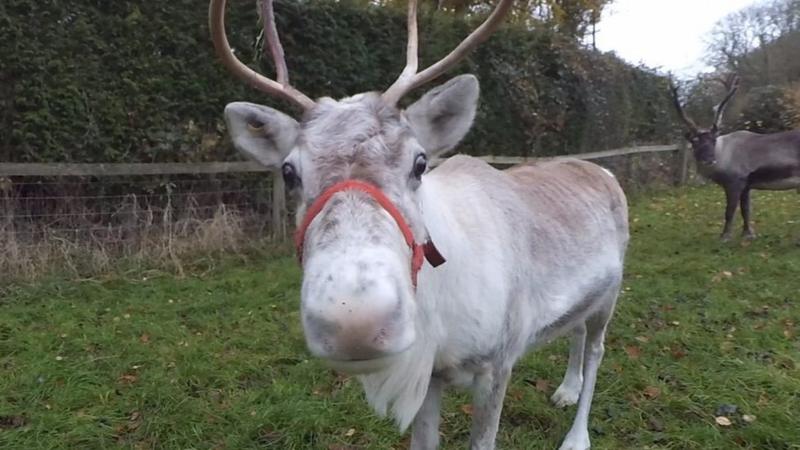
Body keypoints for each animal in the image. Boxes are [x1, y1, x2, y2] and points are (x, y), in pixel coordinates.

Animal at [210, 0, 629, 448]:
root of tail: (603, 171)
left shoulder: (499, 360)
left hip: (612, 291)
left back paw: (577, 435)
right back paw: (566, 388)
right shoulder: (432, 378)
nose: (354, 324)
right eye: (288, 172)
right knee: (577, 329)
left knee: (598, 349)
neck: (439, 322)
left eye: (421, 162)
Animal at [670, 74, 800, 241]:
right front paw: (748, 234)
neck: (723, 153)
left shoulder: (734, 182)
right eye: (694, 141)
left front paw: (725, 236)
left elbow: (730, 210)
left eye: (713, 140)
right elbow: (746, 209)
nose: (709, 160)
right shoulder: (747, 185)